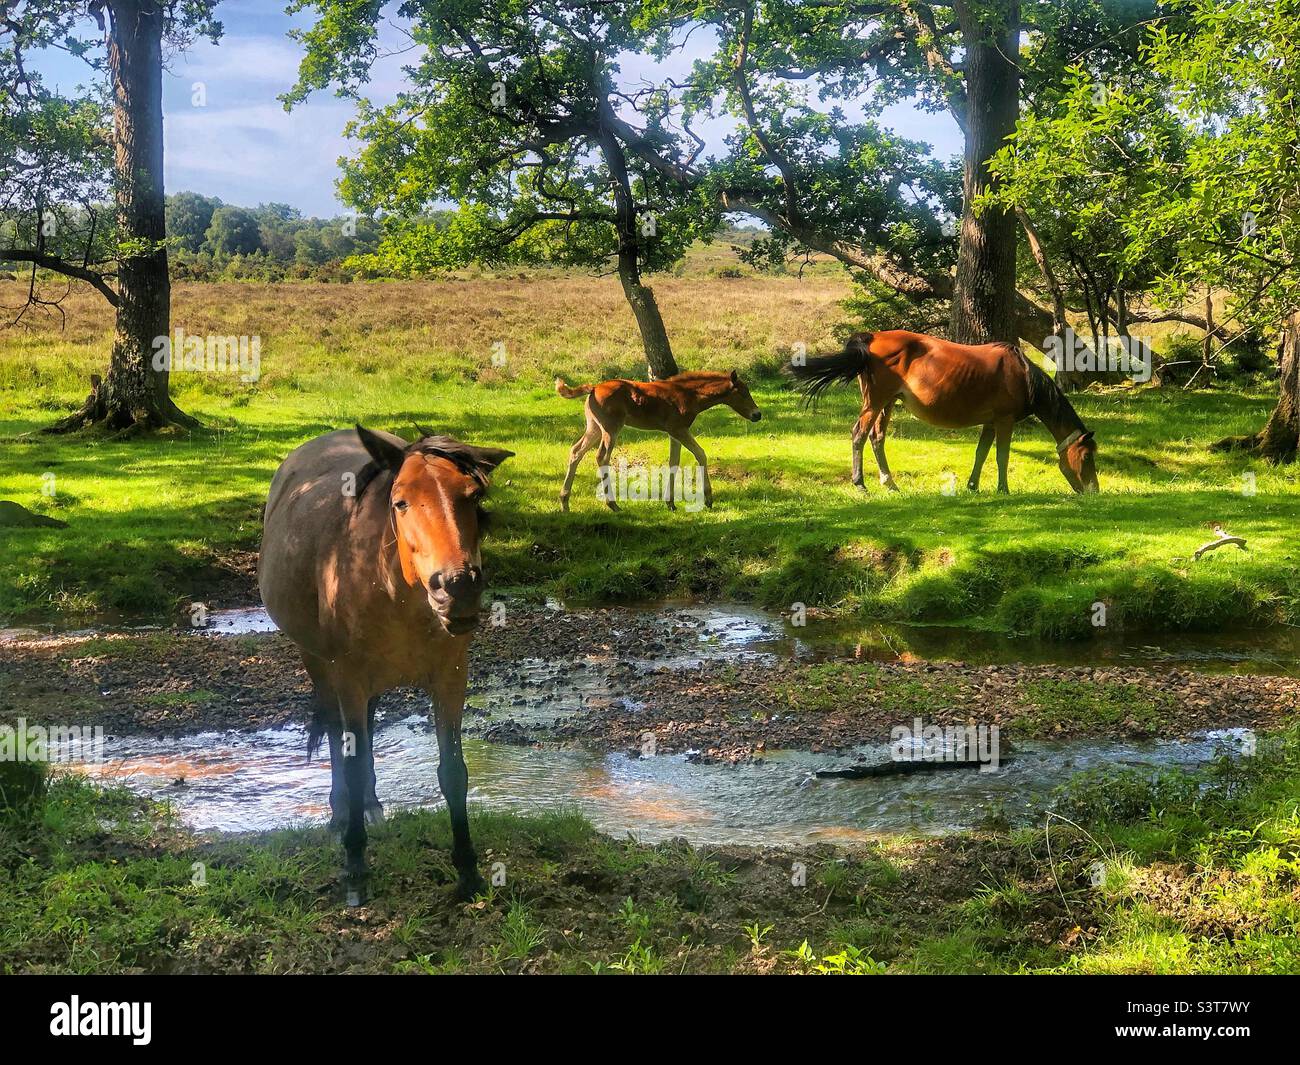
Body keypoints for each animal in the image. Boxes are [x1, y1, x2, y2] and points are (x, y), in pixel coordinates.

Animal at [258, 426, 513, 905]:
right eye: (401, 502)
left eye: (473, 497)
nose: (458, 587)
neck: (394, 590)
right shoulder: (349, 678)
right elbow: (353, 761)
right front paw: (356, 868)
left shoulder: (450, 678)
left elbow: (453, 772)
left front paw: (468, 871)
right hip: (319, 663)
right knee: (337, 733)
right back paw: (342, 812)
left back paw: (372, 806)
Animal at [555, 370, 763, 511]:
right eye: (743, 393)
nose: (757, 414)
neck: (689, 395)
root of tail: (594, 388)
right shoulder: (678, 429)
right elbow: (700, 454)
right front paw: (708, 498)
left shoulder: (674, 432)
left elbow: (674, 462)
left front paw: (670, 502)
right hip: (610, 428)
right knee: (601, 457)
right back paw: (612, 504)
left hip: (594, 427)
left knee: (576, 451)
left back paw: (565, 502)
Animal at [788, 330, 1099, 494]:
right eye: (1086, 457)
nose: (1093, 490)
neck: (1022, 375)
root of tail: (872, 337)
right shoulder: (1004, 421)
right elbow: (1002, 456)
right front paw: (1003, 489)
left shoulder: (990, 422)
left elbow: (981, 453)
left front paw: (972, 486)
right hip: (875, 402)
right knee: (859, 435)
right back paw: (860, 484)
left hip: (886, 404)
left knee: (877, 438)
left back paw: (890, 484)